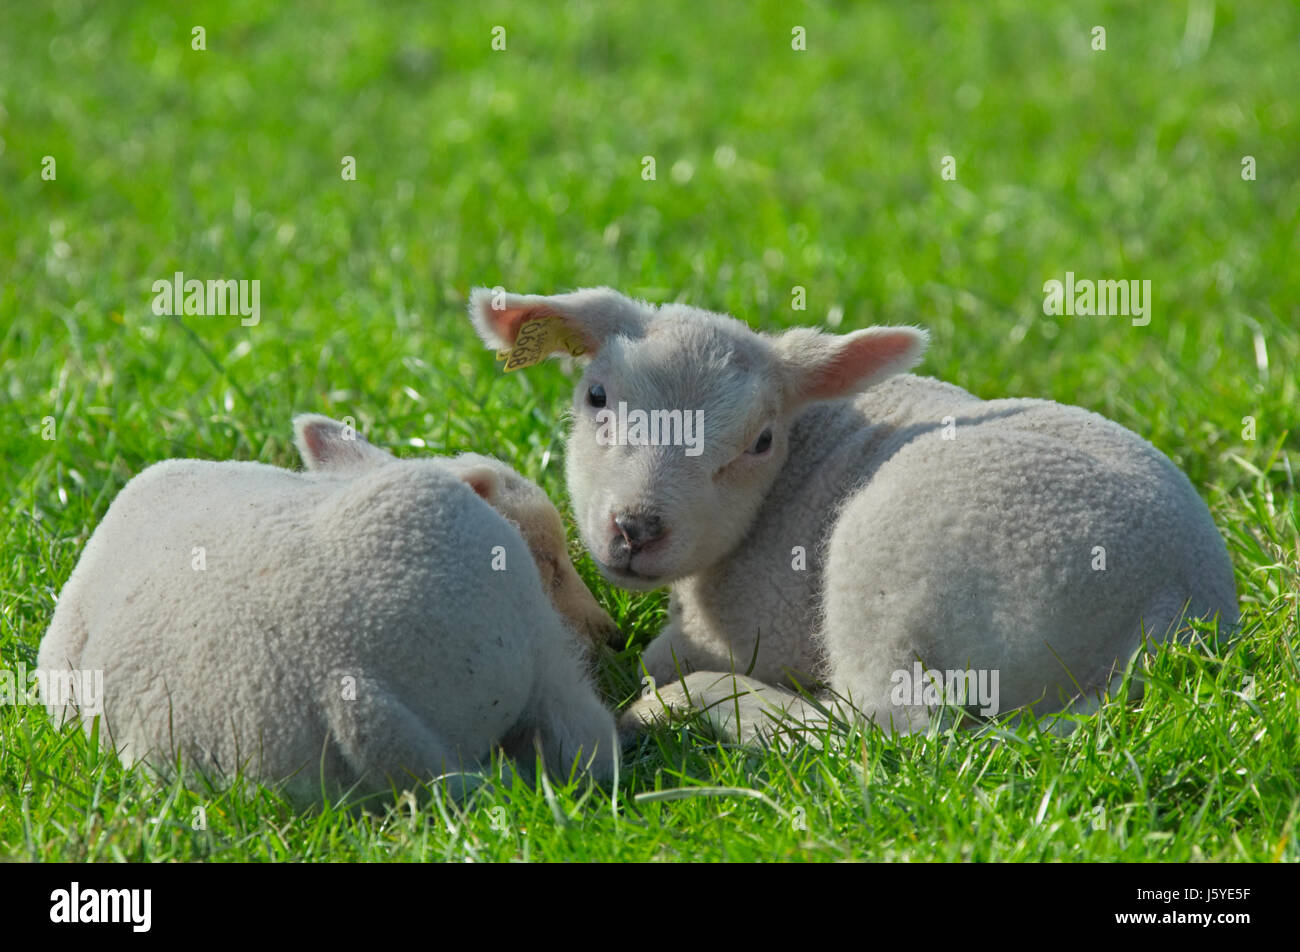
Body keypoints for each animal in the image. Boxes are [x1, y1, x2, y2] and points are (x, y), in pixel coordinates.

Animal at [467, 286, 1239, 742]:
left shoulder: (754, 623)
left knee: (884, 732)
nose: (636, 530)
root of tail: (1171, 613)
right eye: (596, 396)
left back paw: (692, 705)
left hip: (892, 558)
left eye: (761, 441)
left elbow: (662, 652)